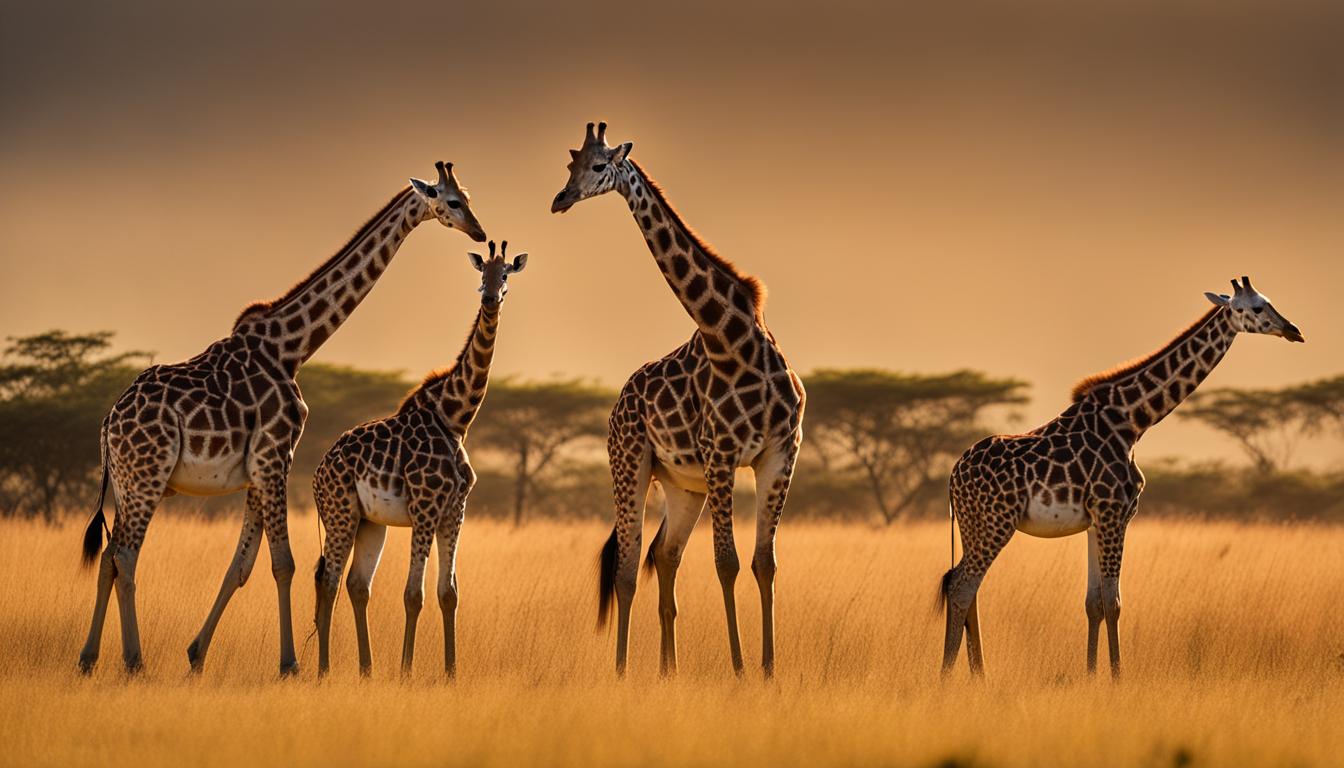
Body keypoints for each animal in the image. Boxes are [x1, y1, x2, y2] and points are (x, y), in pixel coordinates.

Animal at [77, 161, 487, 676]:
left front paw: (197, 655)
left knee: (110, 556)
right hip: (148, 474)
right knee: (128, 555)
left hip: (128, 481)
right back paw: (134, 661)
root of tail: (107, 425)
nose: (480, 231)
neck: (291, 347)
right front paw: (290, 663)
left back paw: (89, 658)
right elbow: (284, 563)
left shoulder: (256, 468)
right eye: (450, 201)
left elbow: (241, 566)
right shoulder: (276, 456)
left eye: (468, 196)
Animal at [312, 240, 526, 678]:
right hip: (341, 511)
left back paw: (367, 669)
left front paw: (450, 672)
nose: (490, 298)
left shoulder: (454, 512)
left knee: (357, 584)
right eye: (482, 273)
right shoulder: (426, 508)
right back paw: (324, 670)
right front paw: (407, 671)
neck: (456, 417)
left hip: (369, 522)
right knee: (329, 580)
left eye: (506, 274)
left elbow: (449, 593)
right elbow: (415, 593)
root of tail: (317, 472)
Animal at [552, 122, 806, 678]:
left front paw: (769, 668)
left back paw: (669, 670)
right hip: (630, 462)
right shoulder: (721, 454)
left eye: (598, 166)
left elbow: (764, 562)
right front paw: (739, 668)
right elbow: (727, 563)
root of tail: (617, 405)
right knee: (627, 568)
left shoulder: (780, 452)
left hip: (683, 486)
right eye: (570, 164)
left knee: (664, 555)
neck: (731, 340)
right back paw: (622, 669)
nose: (560, 200)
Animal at [939, 276, 1304, 678]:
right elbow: (1114, 602)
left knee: (964, 583)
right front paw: (1116, 677)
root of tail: (954, 475)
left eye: (1268, 300)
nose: (1293, 330)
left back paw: (978, 675)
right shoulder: (1115, 513)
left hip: (974, 525)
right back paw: (947, 676)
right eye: (1254, 307)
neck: (1133, 421)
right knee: (962, 586)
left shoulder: (1096, 520)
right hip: (995, 523)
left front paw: (1090, 674)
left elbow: (1093, 602)